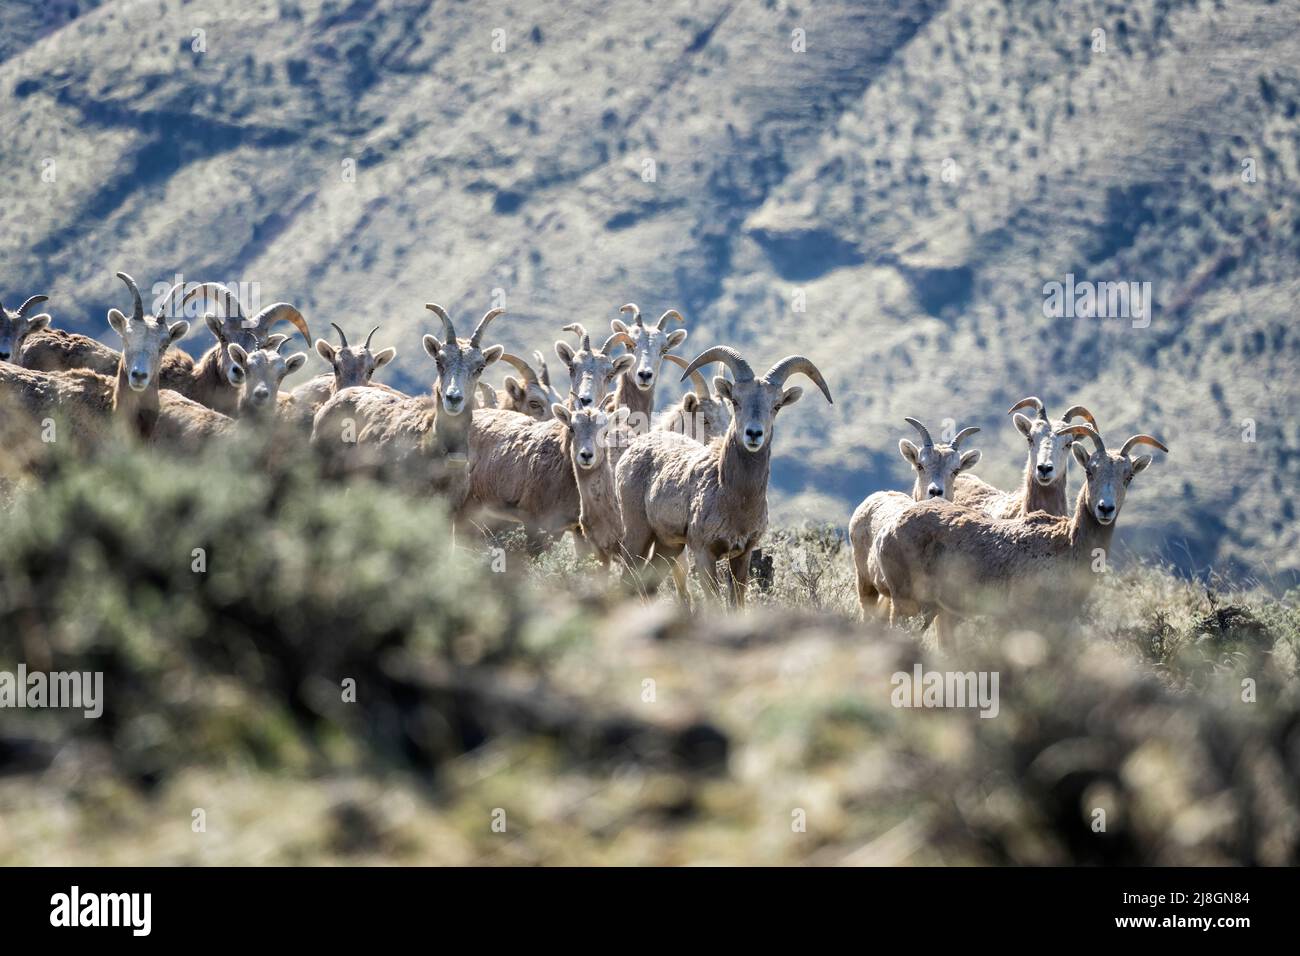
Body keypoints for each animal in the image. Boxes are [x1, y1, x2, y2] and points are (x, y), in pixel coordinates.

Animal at [615, 346, 833, 606]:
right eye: (736, 401)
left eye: (777, 405)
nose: (753, 434)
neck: (732, 497)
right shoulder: (704, 553)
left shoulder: (742, 555)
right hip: (638, 533)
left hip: (668, 545)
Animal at [875, 423, 1169, 648]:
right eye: (1090, 471)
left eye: (1128, 476)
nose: (1104, 508)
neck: (1068, 545)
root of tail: (889, 529)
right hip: (908, 603)